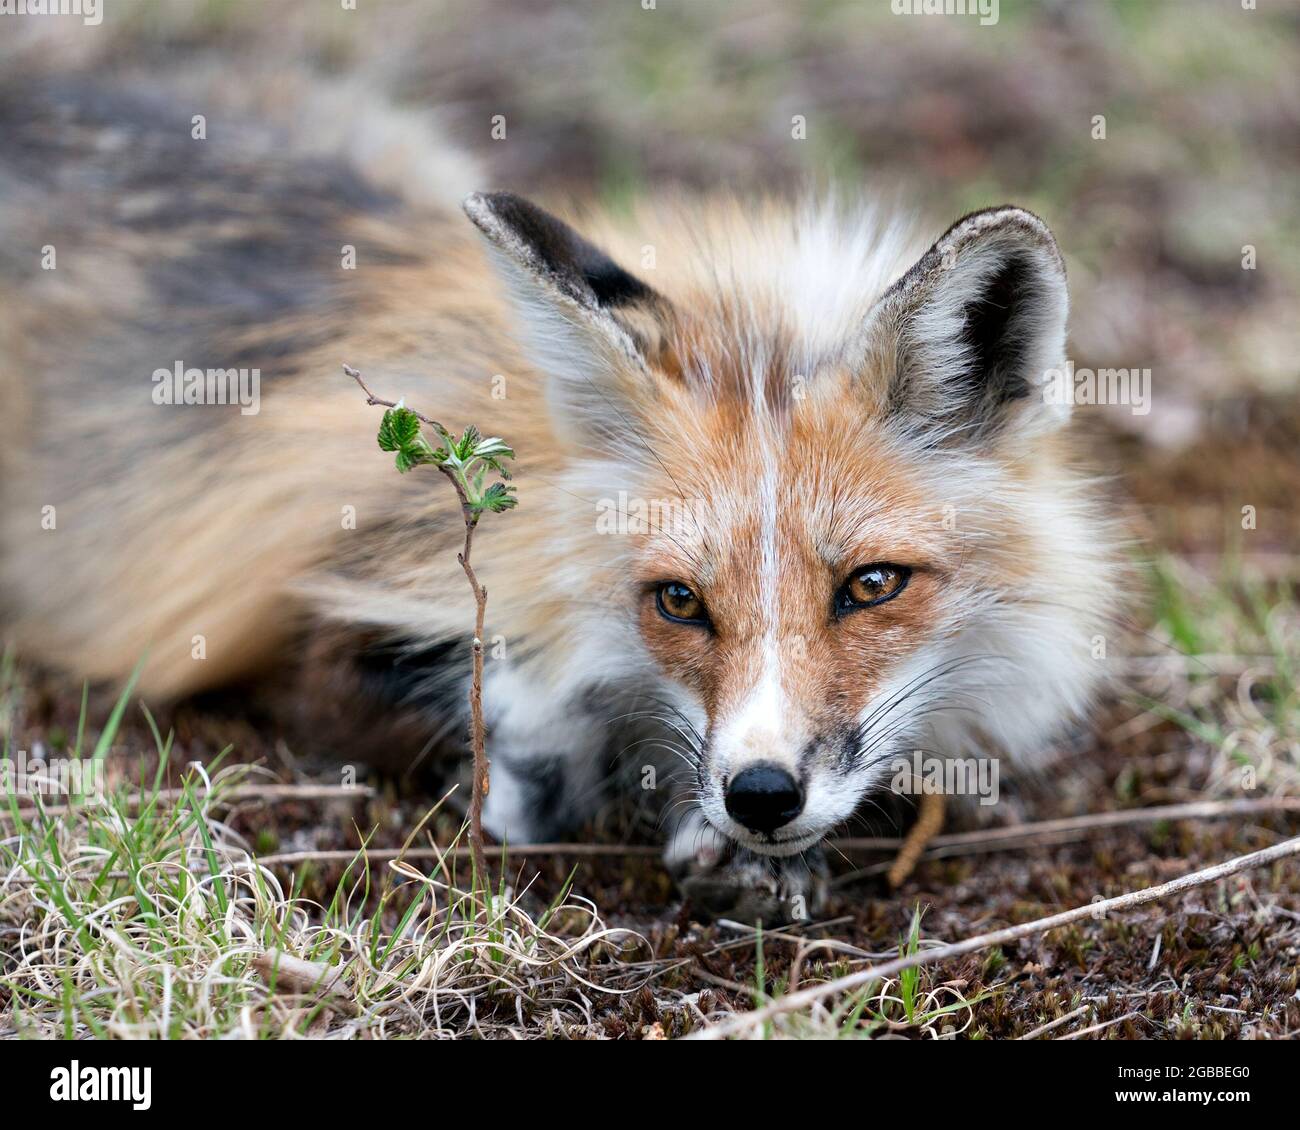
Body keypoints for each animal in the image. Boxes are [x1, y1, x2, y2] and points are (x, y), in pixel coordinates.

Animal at [0, 54, 1121, 919]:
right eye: (679, 601)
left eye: (872, 585)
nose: (759, 795)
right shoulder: (305, 618)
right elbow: (508, 706)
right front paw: (586, 785)